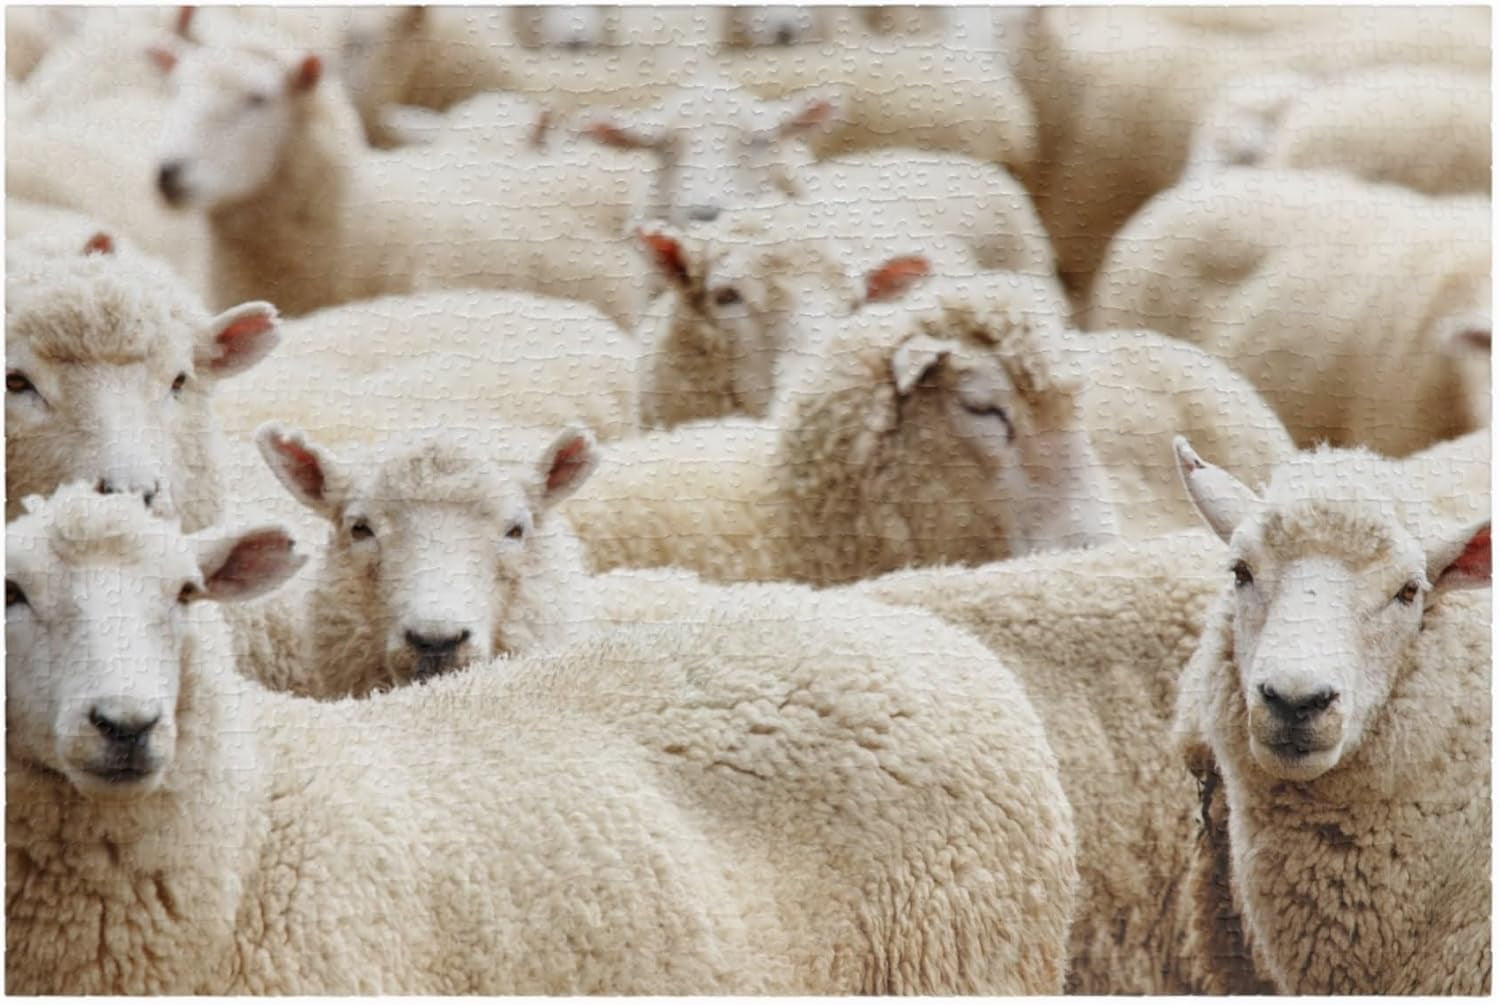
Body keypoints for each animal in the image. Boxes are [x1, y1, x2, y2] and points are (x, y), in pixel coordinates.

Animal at [6, 484, 1077, 995]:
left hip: (969, 960)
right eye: (11, 590)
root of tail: (933, 640)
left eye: (187, 592)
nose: (127, 724)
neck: (253, 830)